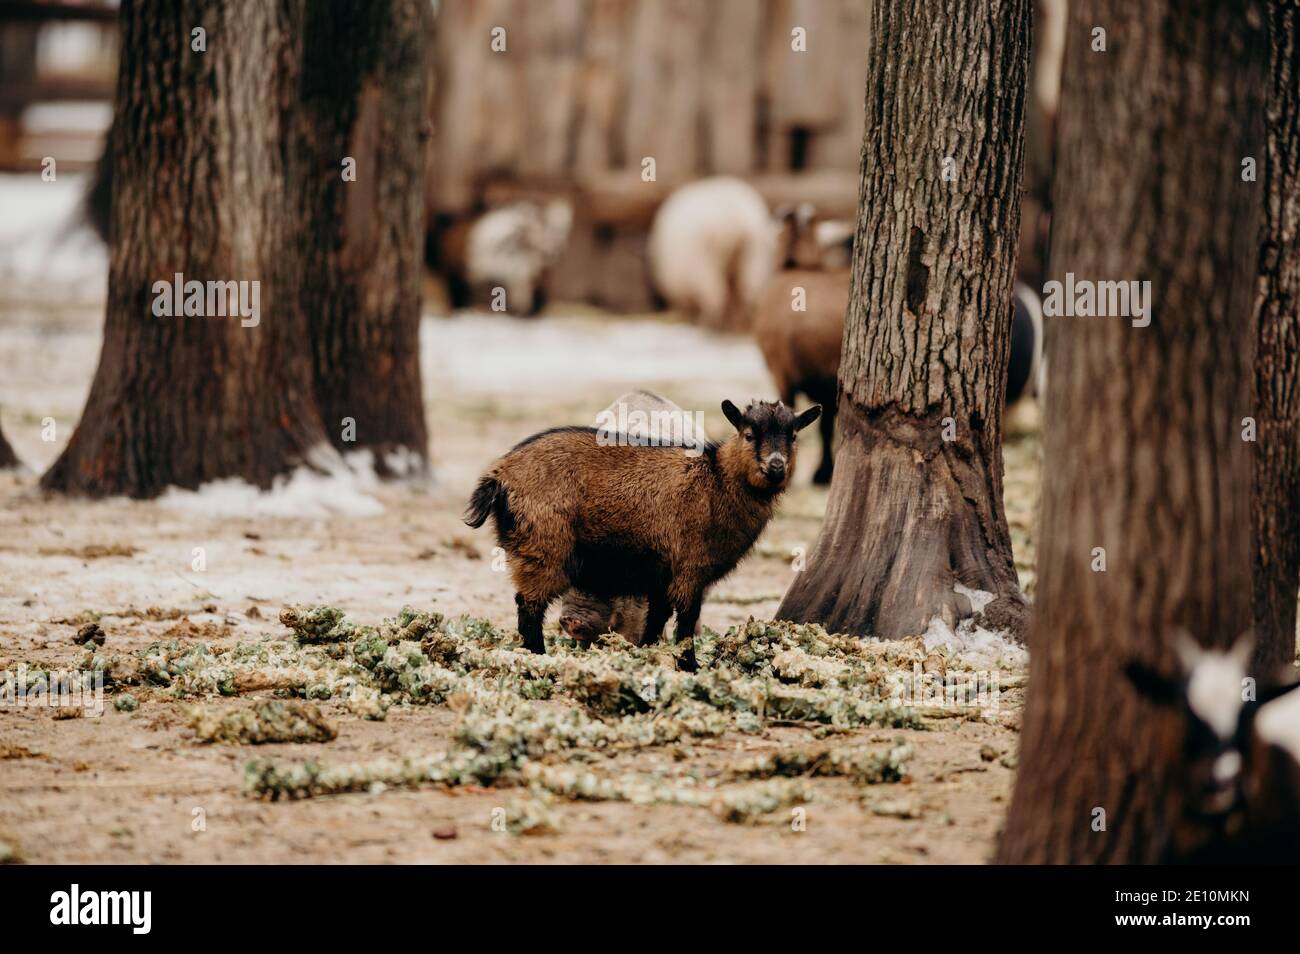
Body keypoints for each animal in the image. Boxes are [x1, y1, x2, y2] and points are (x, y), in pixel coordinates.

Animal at [465, 399, 820, 670]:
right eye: (749, 434)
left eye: (793, 435)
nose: (775, 466)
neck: (717, 480)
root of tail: (499, 475)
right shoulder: (689, 569)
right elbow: (687, 620)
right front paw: (690, 666)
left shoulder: (664, 573)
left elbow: (658, 616)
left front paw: (648, 652)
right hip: (544, 548)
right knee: (528, 605)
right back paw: (537, 654)